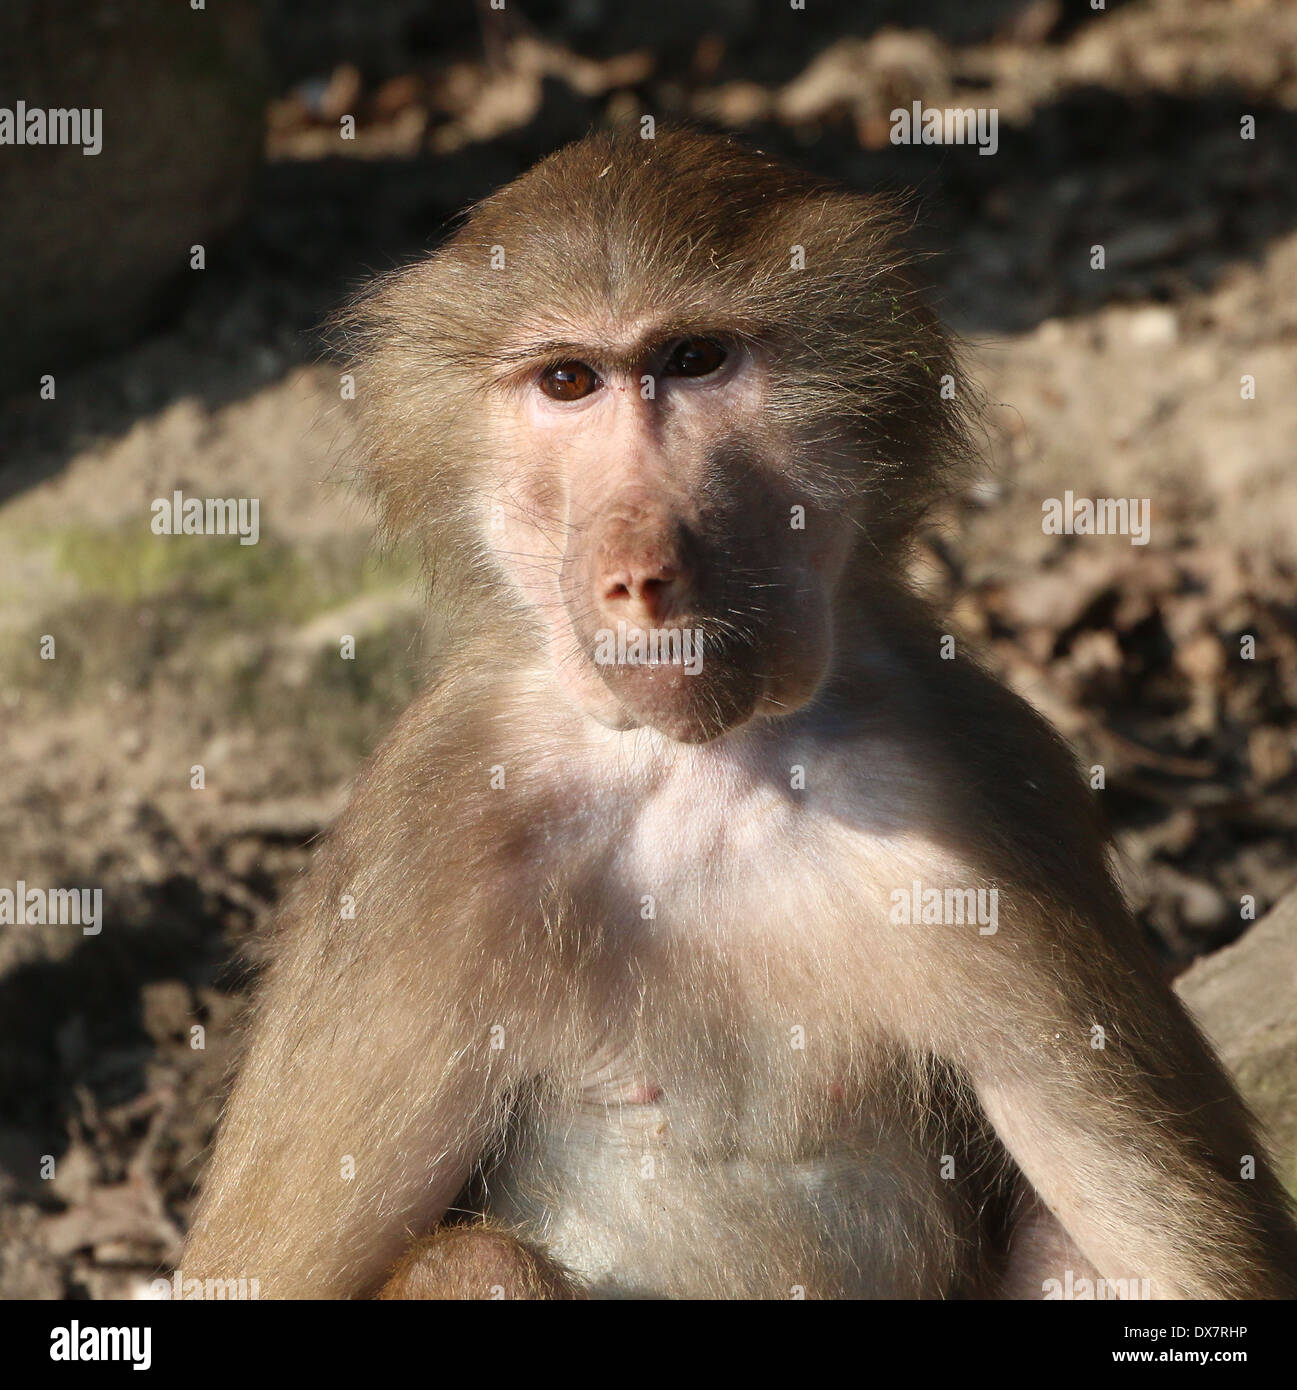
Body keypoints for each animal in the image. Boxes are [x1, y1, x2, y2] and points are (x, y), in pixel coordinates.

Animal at [181, 127, 1297, 1300]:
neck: (704, 771)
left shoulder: (983, 786)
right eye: (568, 381)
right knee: (476, 1260)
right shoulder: (427, 836)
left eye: (693, 361)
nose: (639, 574)